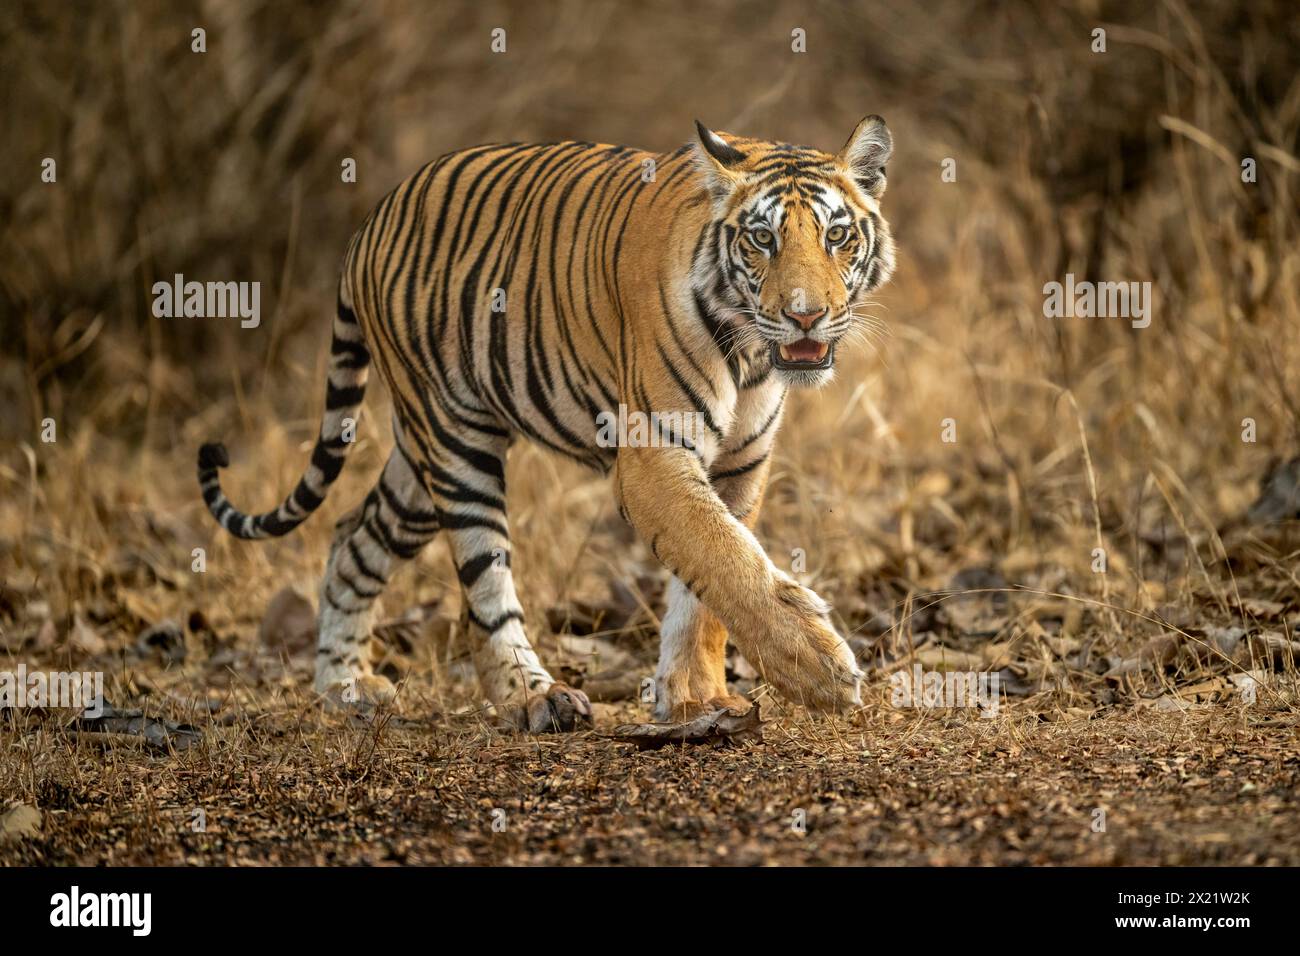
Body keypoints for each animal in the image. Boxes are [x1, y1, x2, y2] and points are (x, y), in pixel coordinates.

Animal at [197, 115, 896, 732]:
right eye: (763, 239)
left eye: (836, 237)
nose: (805, 316)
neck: (752, 354)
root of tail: (372, 218)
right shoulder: (651, 457)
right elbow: (725, 559)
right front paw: (819, 669)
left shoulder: (741, 465)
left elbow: (707, 593)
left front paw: (695, 699)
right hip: (455, 446)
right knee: (483, 587)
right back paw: (533, 697)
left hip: (415, 468)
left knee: (351, 537)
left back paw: (342, 686)